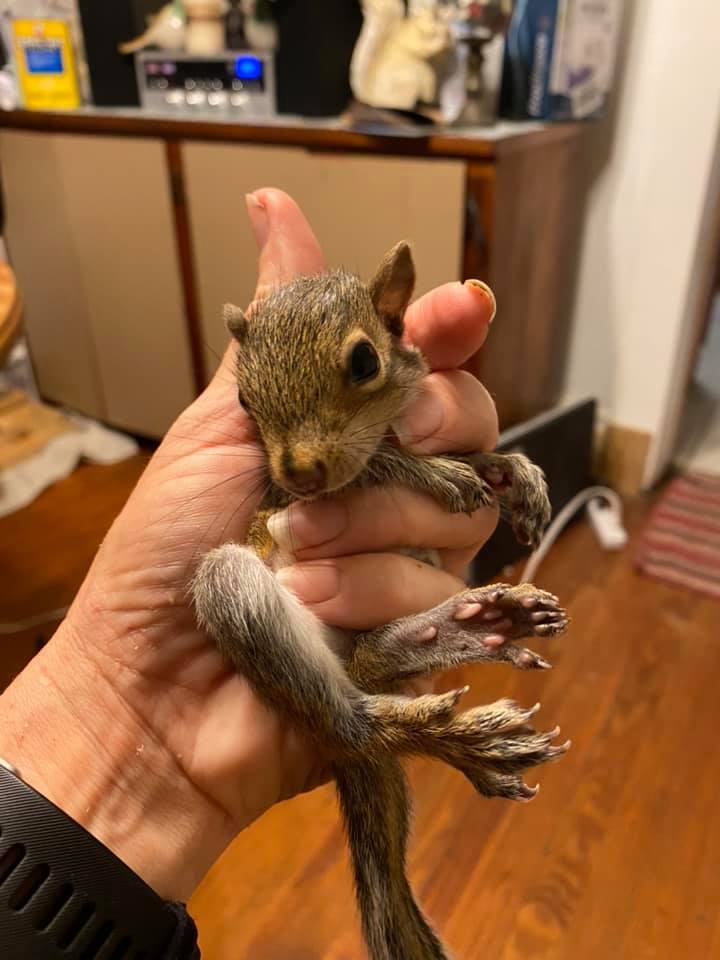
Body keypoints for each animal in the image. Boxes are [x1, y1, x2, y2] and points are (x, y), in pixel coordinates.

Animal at [192, 241, 570, 960]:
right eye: (244, 398)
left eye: (365, 361)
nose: (301, 472)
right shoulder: (289, 499)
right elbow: (380, 467)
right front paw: (441, 473)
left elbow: (462, 452)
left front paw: (511, 471)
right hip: (232, 587)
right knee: (355, 713)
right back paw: (454, 732)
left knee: (370, 660)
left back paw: (468, 626)